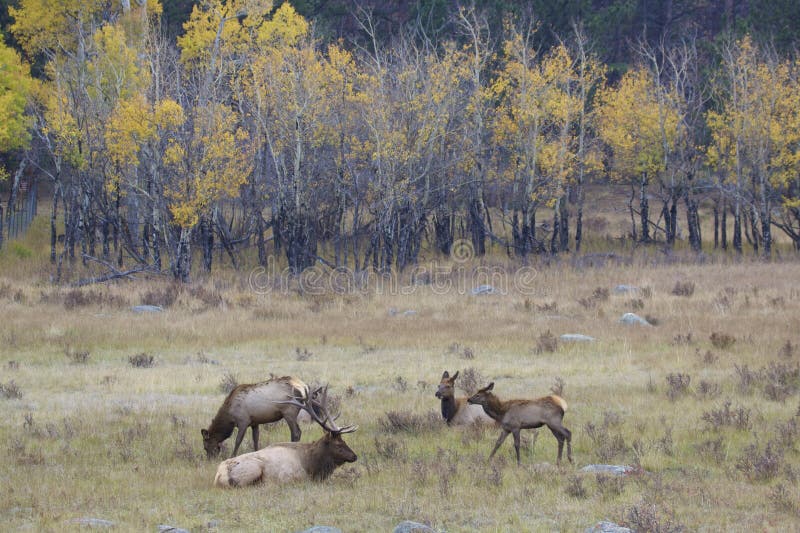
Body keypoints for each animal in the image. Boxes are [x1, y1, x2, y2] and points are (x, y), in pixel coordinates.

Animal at [213, 386, 358, 487]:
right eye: (338, 444)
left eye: (344, 441)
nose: (354, 456)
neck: (311, 463)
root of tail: (219, 476)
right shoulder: (293, 477)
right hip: (253, 469)